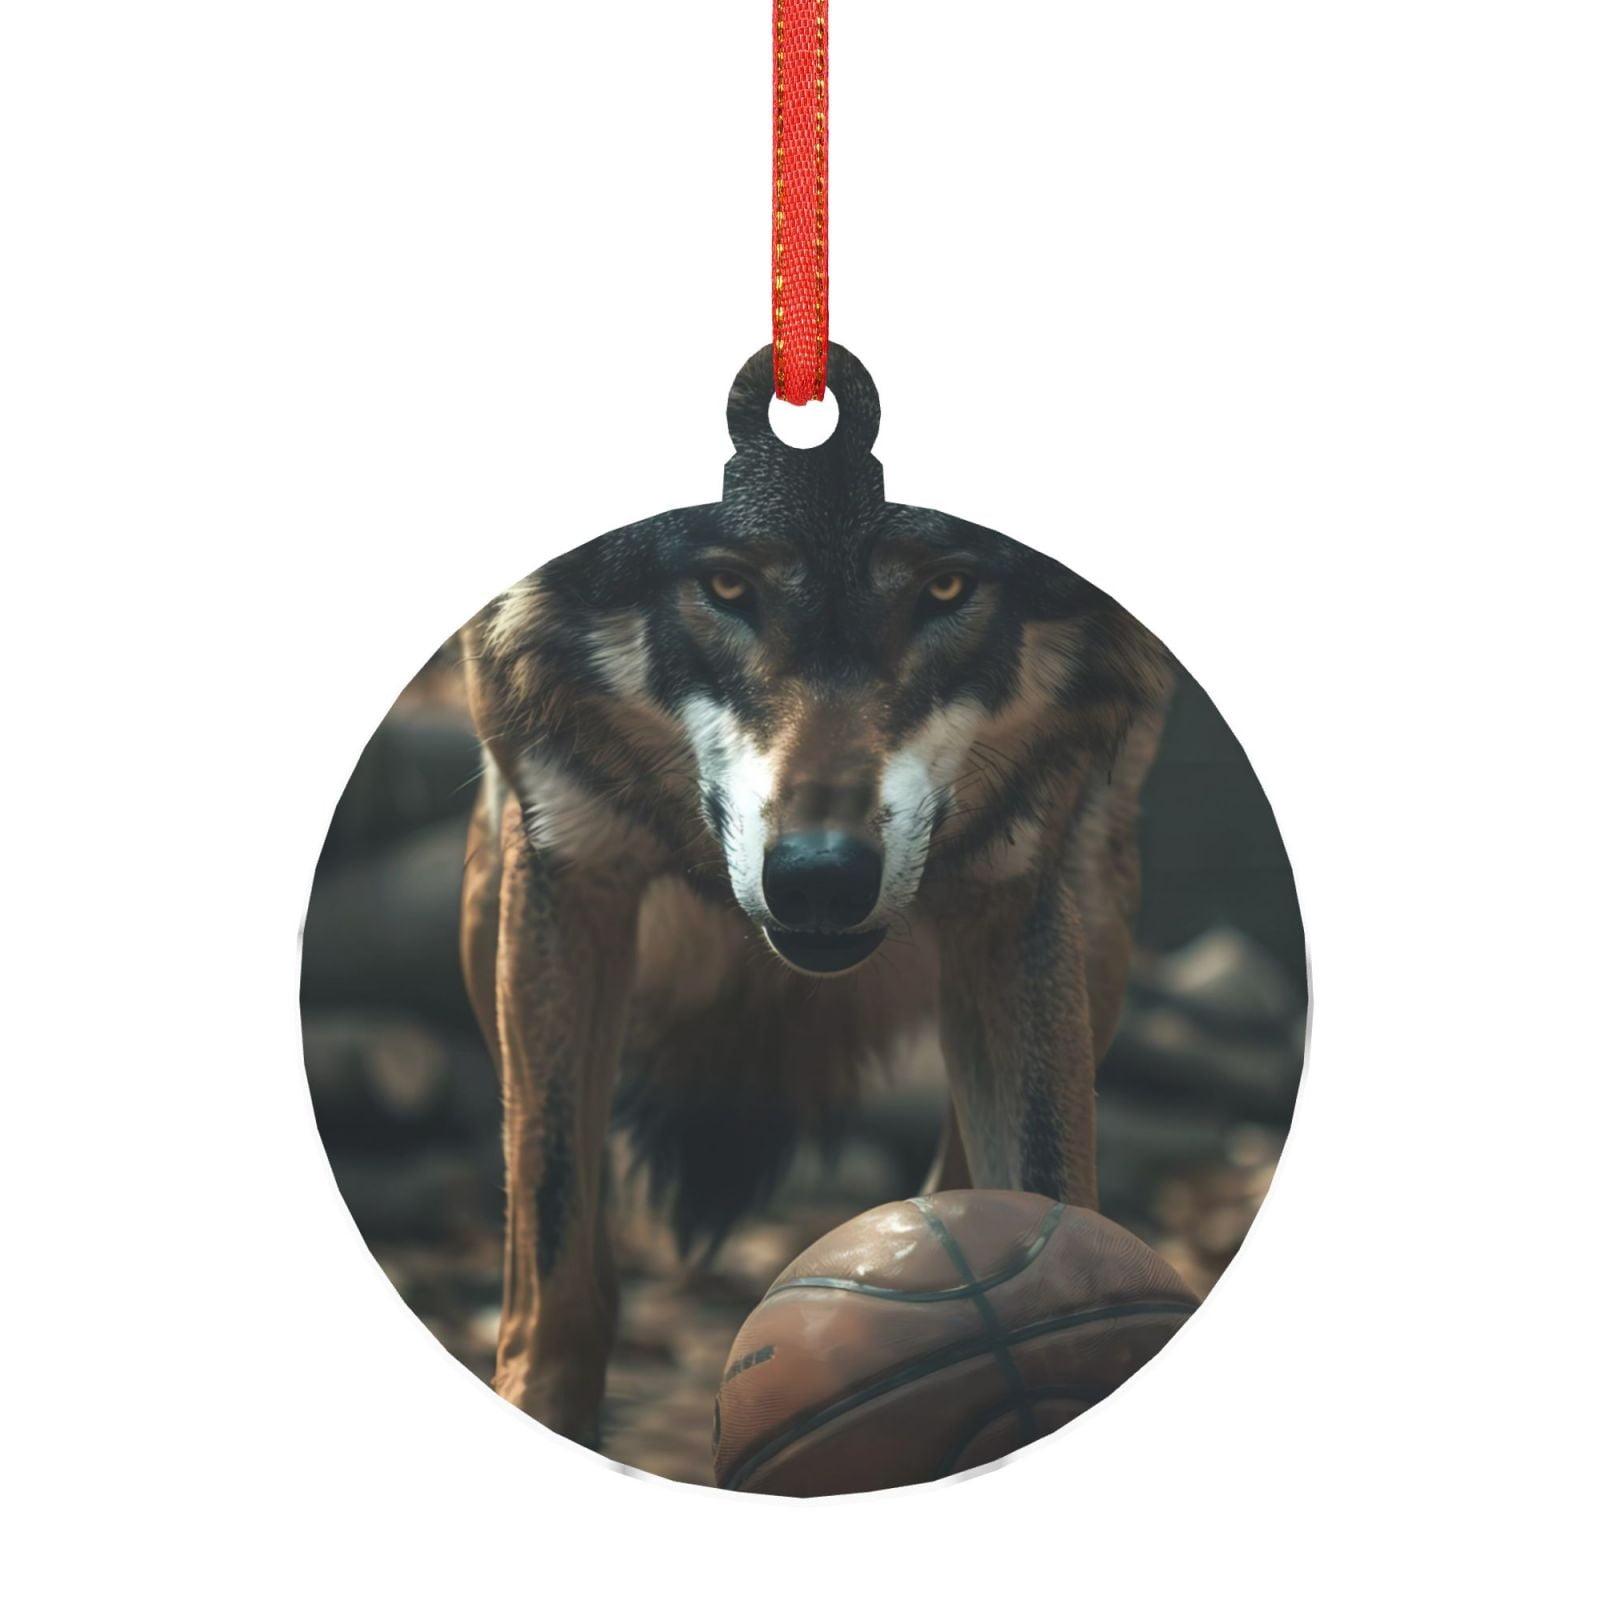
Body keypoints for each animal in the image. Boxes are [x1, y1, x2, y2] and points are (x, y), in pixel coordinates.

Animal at [458, 345, 1172, 1441]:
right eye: (726, 584)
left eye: (946, 586)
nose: (822, 878)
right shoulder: (566, 863)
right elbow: (558, 1253)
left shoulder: (1016, 894)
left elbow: (1049, 1196)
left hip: (1094, 909)